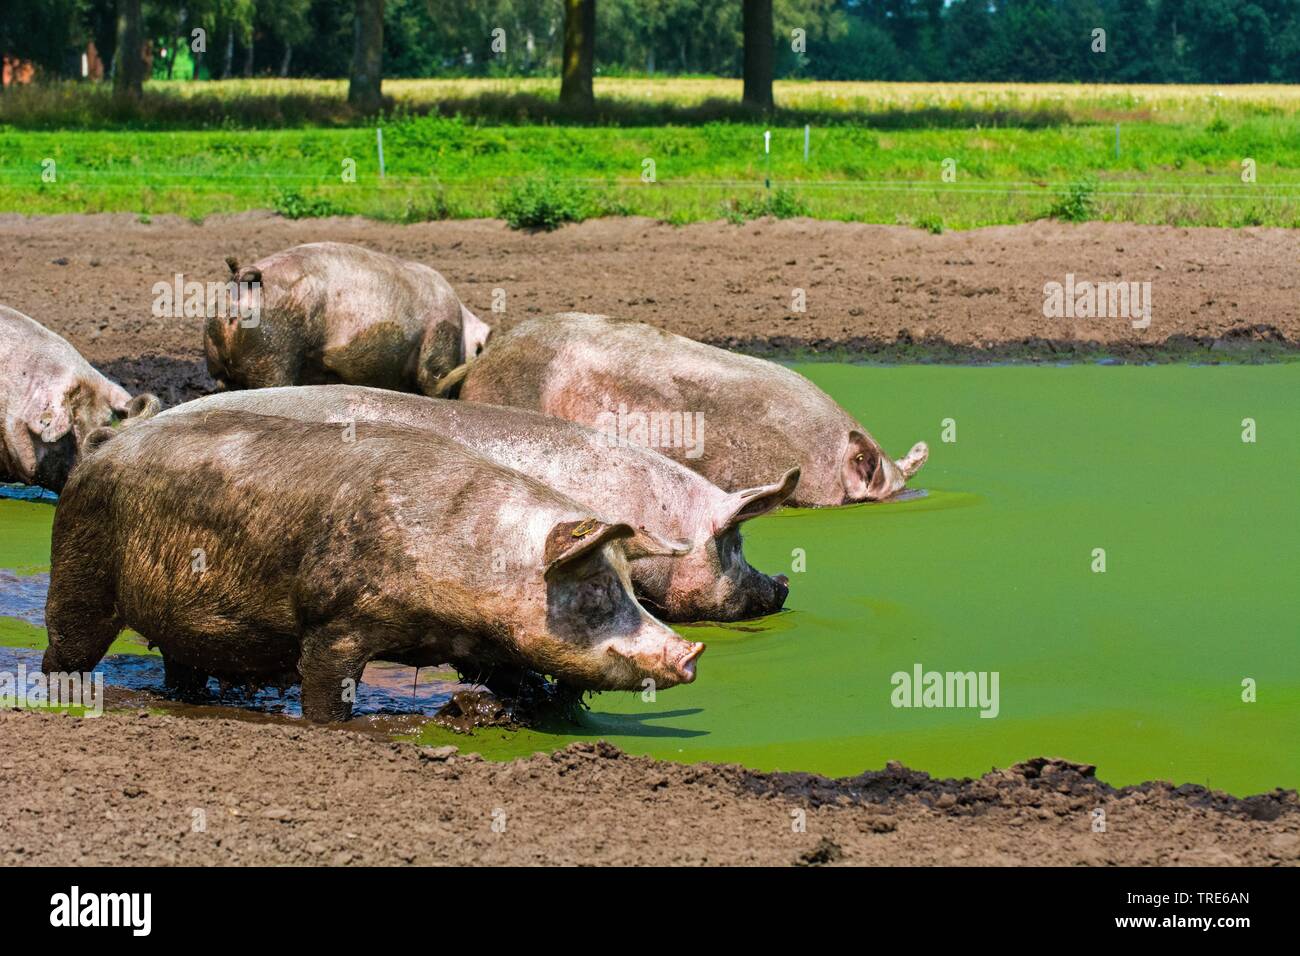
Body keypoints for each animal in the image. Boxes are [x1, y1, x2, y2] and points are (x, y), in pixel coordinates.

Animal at [43, 410, 702, 721]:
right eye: (595, 592)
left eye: (632, 589)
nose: (692, 651)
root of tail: (102, 445)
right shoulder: (334, 620)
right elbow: (325, 684)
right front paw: (328, 724)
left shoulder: (484, 644)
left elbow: (515, 678)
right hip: (79, 568)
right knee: (67, 644)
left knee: (183, 667)